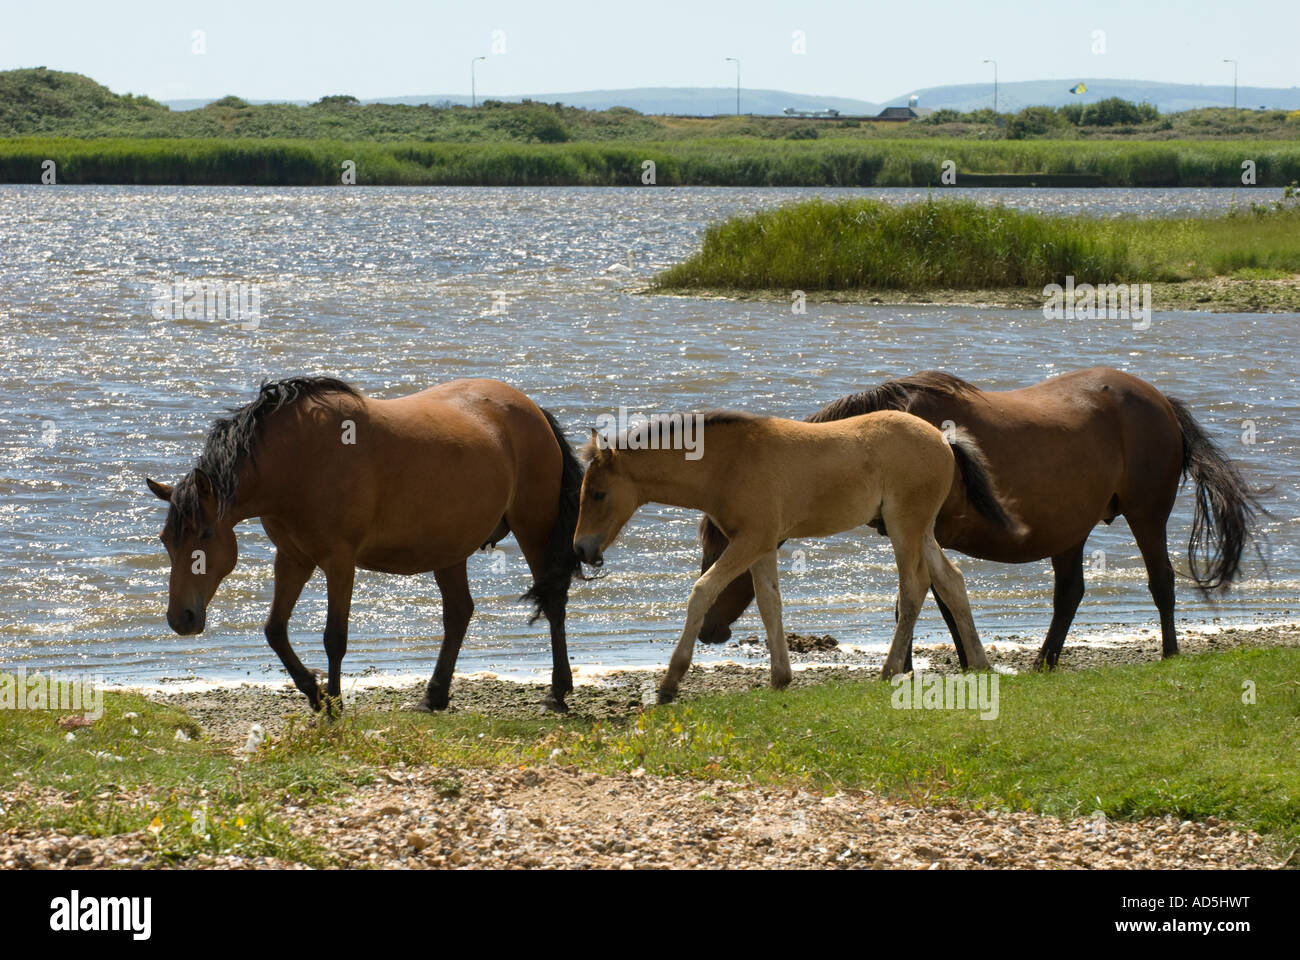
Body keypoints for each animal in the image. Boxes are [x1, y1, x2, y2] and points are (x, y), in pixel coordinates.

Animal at [145, 376, 585, 713]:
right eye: (167, 540)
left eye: (204, 535)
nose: (181, 618)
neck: (298, 460)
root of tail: (532, 409)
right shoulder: (292, 559)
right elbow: (275, 631)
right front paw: (315, 694)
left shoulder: (339, 562)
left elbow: (334, 638)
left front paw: (334, 705)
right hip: (449, 548)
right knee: (459, 613)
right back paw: (434, 695)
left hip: (534, 527)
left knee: (553, 602)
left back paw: (557, 692)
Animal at [572, 409, 1023, 702]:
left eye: (598, 494)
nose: (581, 549)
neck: (727, 464)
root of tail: (943, 439)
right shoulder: (761, 544)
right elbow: (770, 604)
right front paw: (780, 677)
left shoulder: (750, 539)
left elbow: (702, 591)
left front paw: (669, 682)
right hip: (921, 529)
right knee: (952, 581)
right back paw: (980, 662)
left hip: (904, 526)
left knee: (914, 587)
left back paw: (890, 669)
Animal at [696, 367, 1263, 671]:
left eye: (721, 547)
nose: (706, 629)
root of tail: (1161, 401)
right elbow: (933, 598)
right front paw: (949, 662)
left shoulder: (926, 532)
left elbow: (922, 597)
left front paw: (916, 666)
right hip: (1071, 530)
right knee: (1070, 594)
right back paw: (1044, 662)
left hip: (1148, 513)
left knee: (1161, 581)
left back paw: (1168, 653)